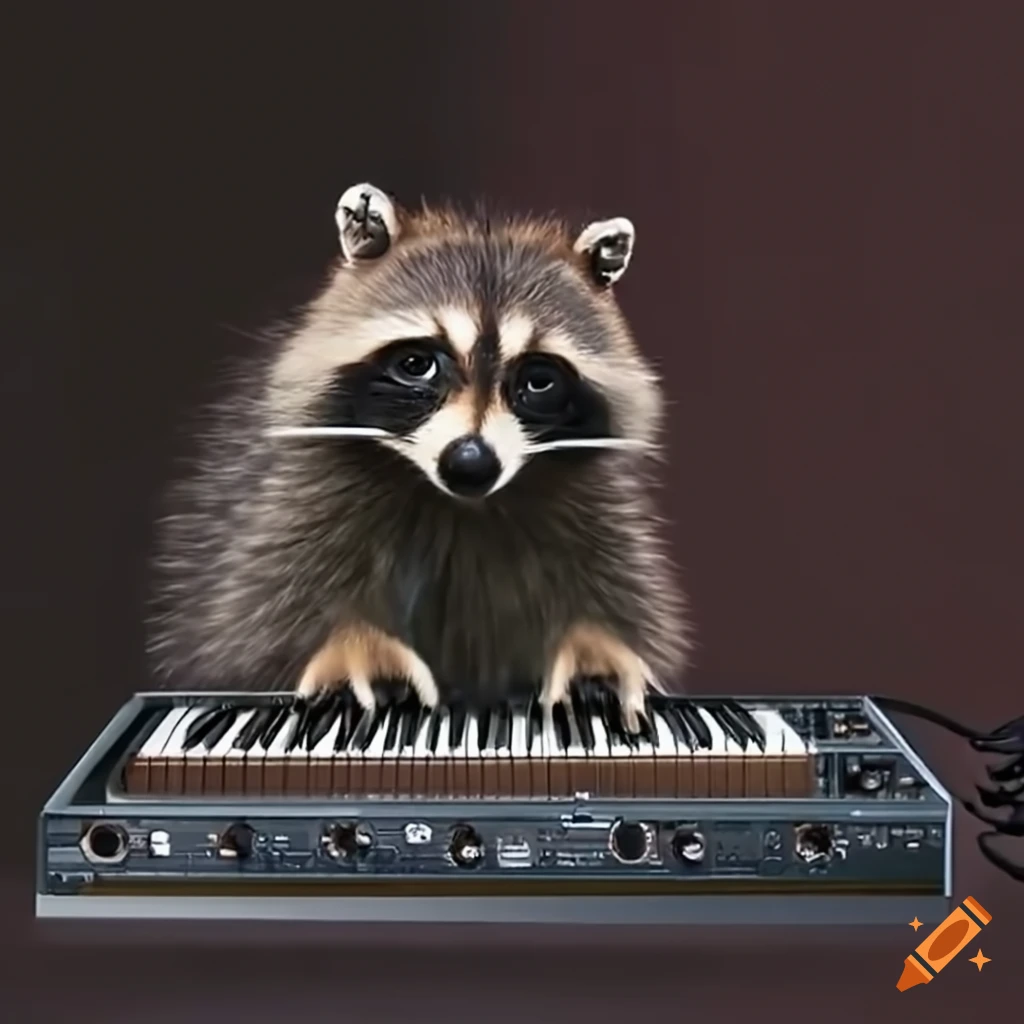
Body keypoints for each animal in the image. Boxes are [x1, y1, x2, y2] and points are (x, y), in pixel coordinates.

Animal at [147, 183, 691, 730]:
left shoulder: (596, 517)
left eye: (539, 380)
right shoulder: (293, 505)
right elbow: (254, 629)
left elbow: (614, 602)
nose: (471, 465)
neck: (460, 506)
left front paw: (592, 646)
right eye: (416, 365)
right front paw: (354, 643)